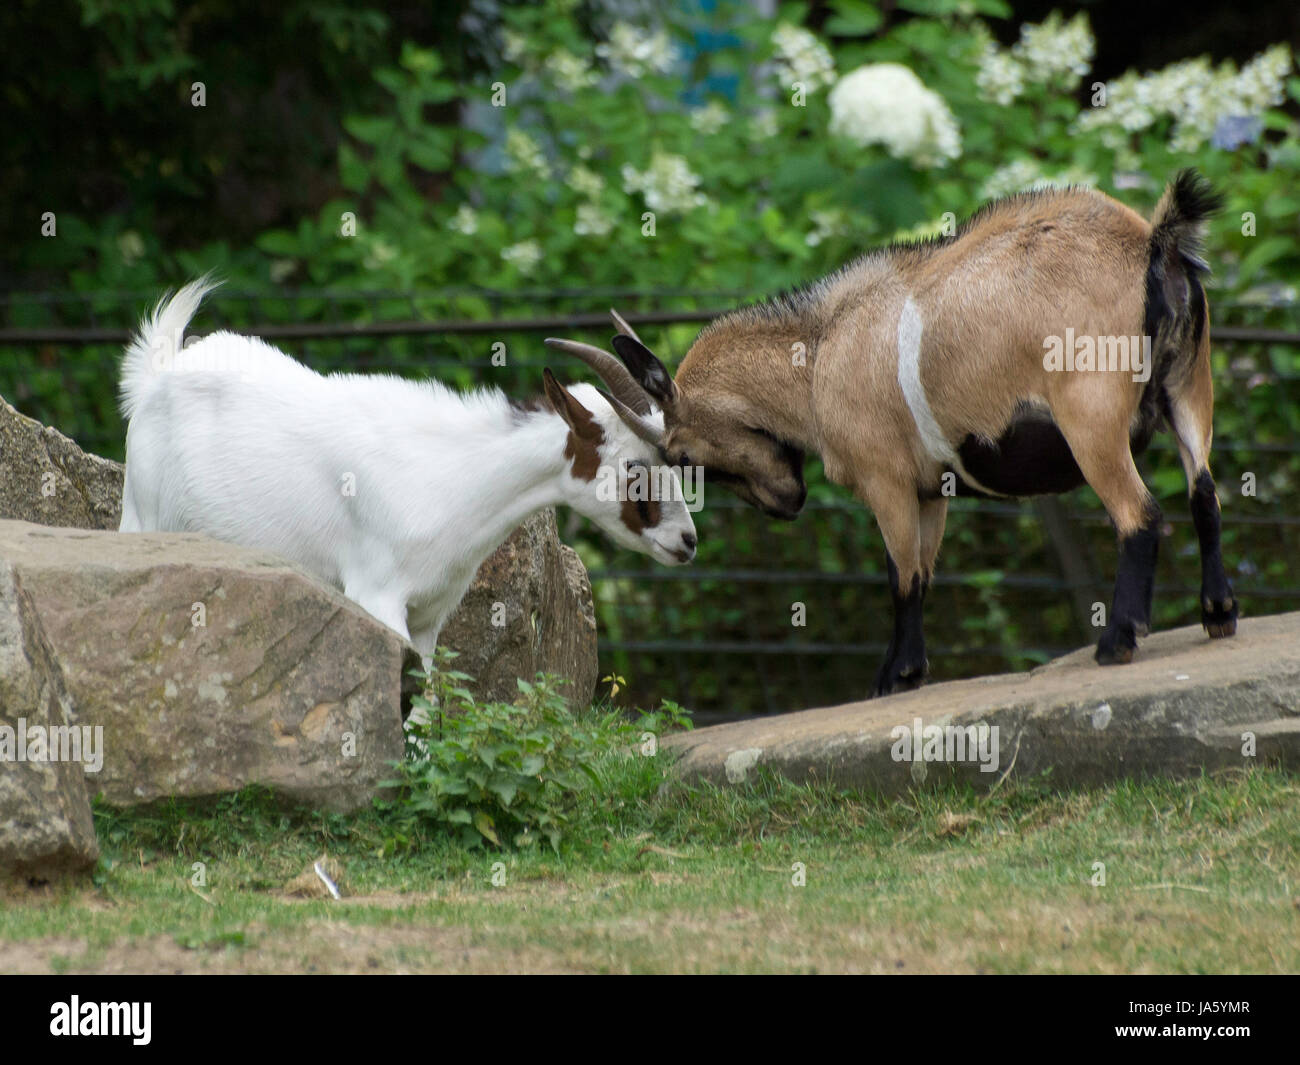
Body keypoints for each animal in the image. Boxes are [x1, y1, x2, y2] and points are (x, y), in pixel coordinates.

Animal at [118, 280, 698, 656]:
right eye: (634, 465)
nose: (687, 541)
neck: (450, 474)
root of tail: (159, 374)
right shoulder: (377, 600)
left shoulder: (426, 622)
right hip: (142, 519)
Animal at [549, 170, 1239, 696]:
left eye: (684, 454)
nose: (786, 503)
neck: (820, 350)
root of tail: (1153, 245)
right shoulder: (933, 488)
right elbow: (924, 574)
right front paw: (911, 671)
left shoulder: (885, 480)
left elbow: (900, 576)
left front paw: (892, 677)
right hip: (1190, 388)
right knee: (1204, 494)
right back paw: (1219, 614)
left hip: (1090, 420)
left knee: (1140, 515)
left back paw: (1118, 641)